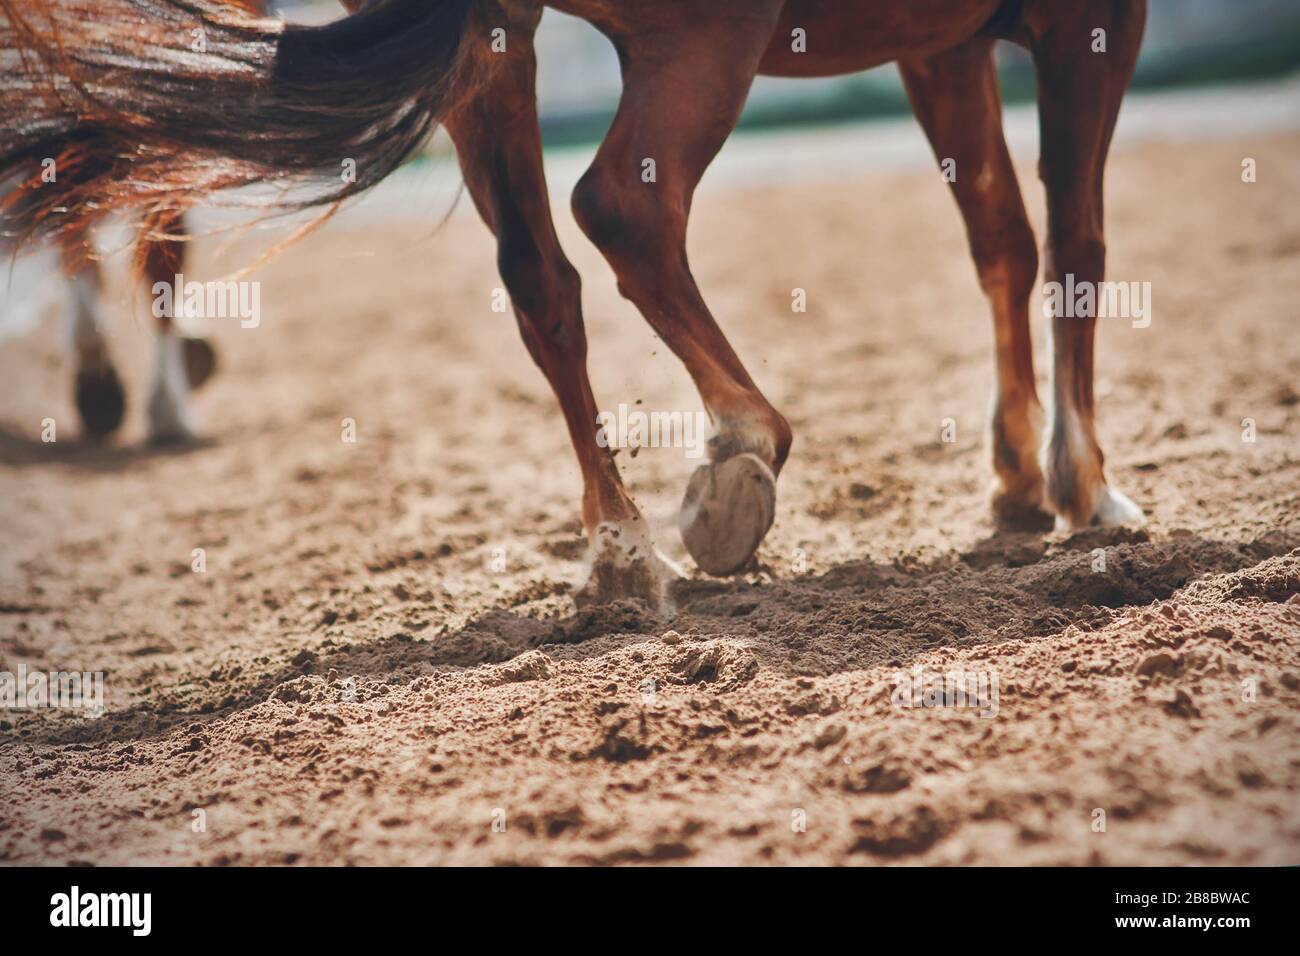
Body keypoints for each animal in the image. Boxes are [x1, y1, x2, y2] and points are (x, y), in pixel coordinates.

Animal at [0, 0, 1148, 604]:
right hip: (701, 44)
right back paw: (740, 445)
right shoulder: (1089, 19)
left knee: (539, 277)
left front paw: (1018, 473)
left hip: (496, 53)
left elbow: (1002, 241)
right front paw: (1086, 485)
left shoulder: (942, 42)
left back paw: (621, 544)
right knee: (624, 211)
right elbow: (1078, 244)